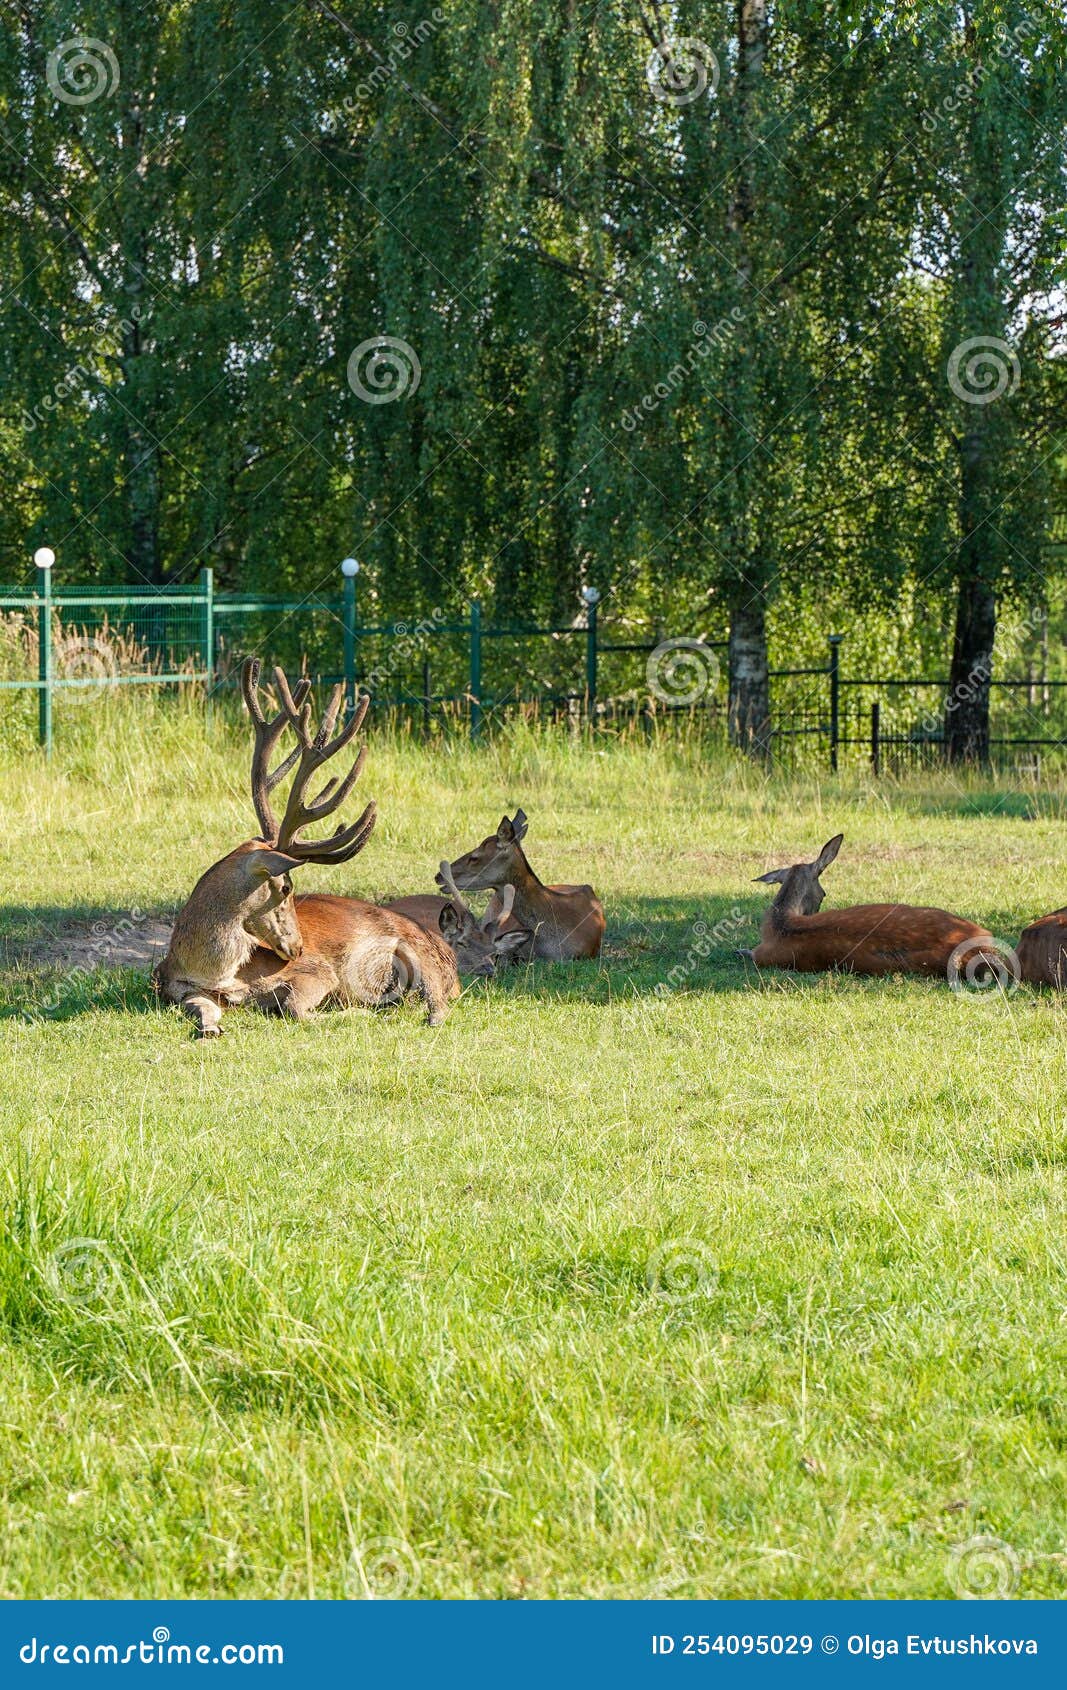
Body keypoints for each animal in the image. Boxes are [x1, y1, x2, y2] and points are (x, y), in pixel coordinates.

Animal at [153, 660, 459, 1036]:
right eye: (285, 887)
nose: (298, 948)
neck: (214, 972)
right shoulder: (175, 989)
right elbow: (202, 1009)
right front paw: (210, 1029)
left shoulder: (317, 970)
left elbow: (294, 1007)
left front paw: (356, 1013)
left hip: (418, 951)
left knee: (437, 1000)